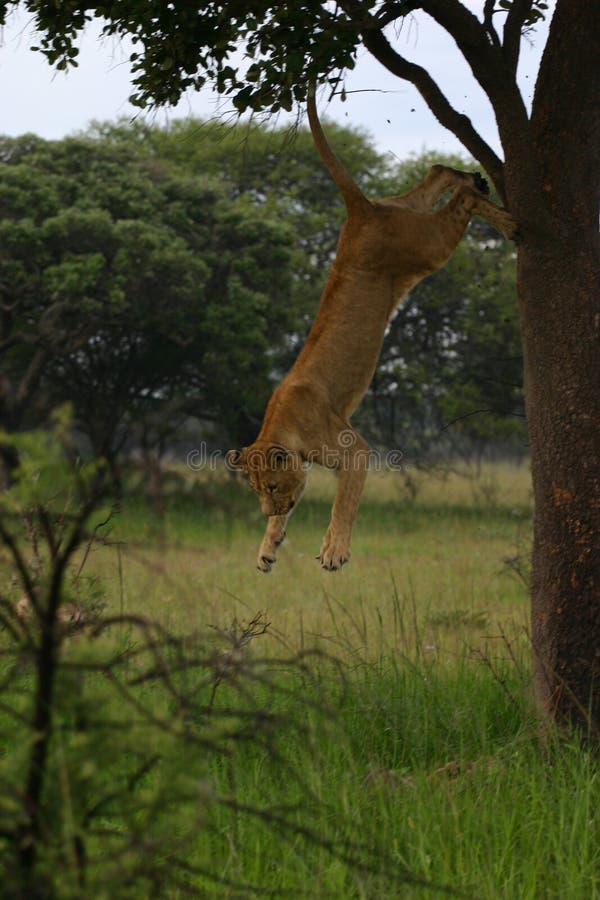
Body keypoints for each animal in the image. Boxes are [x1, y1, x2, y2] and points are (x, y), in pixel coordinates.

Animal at [228, 87, 518, 572]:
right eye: (255, 490)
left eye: (269, 486)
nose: (267, 509)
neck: (282, 425)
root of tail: (360, 209)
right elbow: (304, 504)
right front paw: (268, 546)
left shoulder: (353, 449)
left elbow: (343, 501)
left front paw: (333, 552)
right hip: (412, 221)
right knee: (435, 176)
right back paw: (472, 178)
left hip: (428, 247)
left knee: (459, 205)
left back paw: (498, 211)